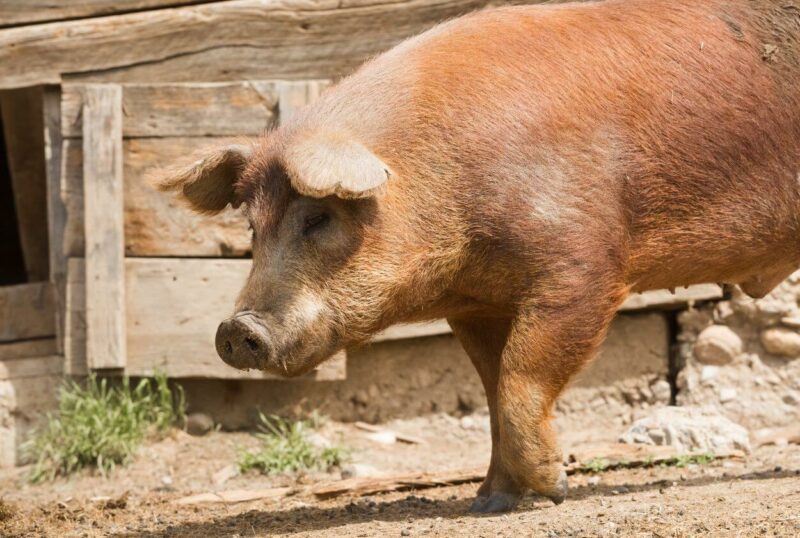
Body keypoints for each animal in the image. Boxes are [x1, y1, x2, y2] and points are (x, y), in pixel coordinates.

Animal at [154, 0, 800, 513]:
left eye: (319, 218)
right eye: (253, 229)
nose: (236, 329)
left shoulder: (584, 270)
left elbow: (520, 383)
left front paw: (555, 489)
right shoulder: (477, 306)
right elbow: (492, 393)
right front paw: (487, 503)